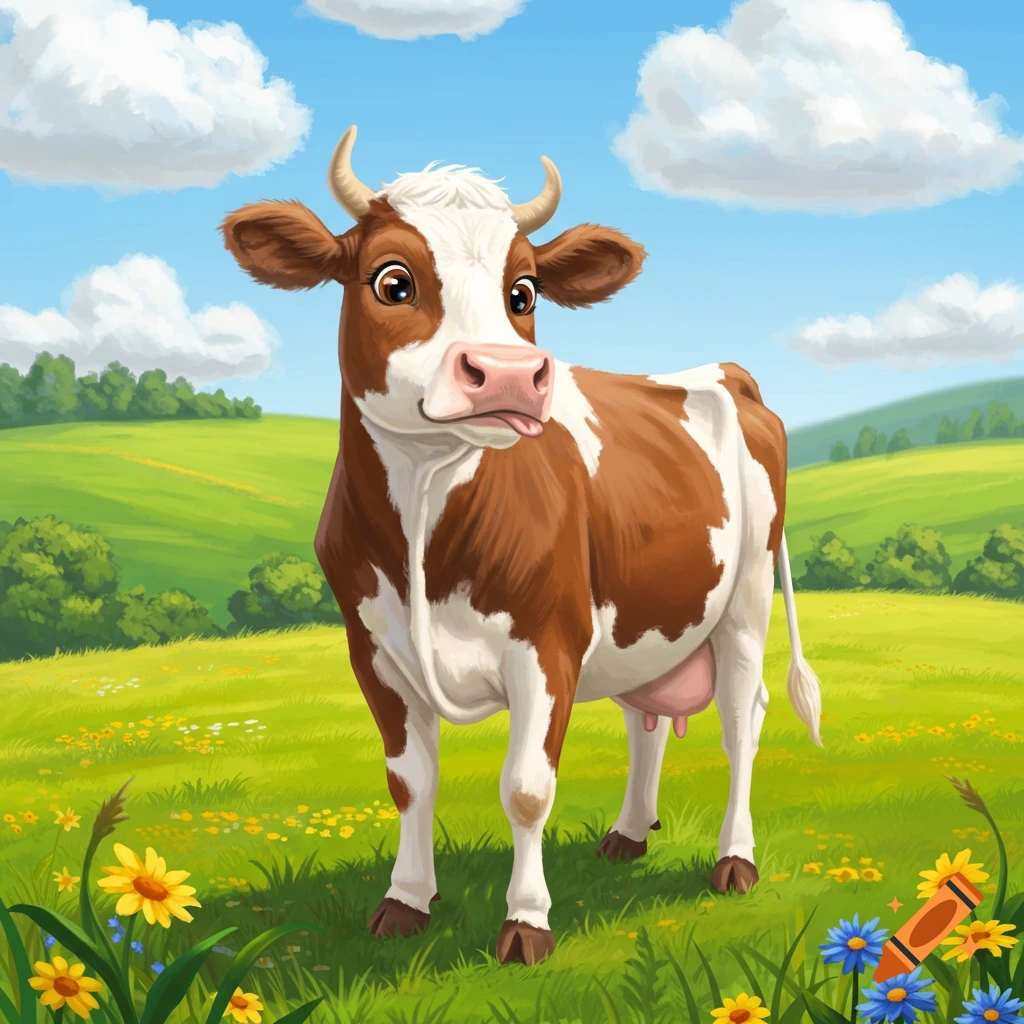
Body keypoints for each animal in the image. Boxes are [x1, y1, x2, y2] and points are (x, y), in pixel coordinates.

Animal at [219, 126, 822, 966]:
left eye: (524, 294)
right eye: (392, 281)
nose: (507, 374)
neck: (428, 521)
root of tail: (722, 373)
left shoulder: (549, 643)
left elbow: (527, 789)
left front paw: (526, 923)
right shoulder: (372, 650)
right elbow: (410, 780)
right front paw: (406, 902)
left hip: (746, 598)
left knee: (743, 720)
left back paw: (735, 860)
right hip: (646, 615)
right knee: (643, 720)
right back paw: (628, 835)